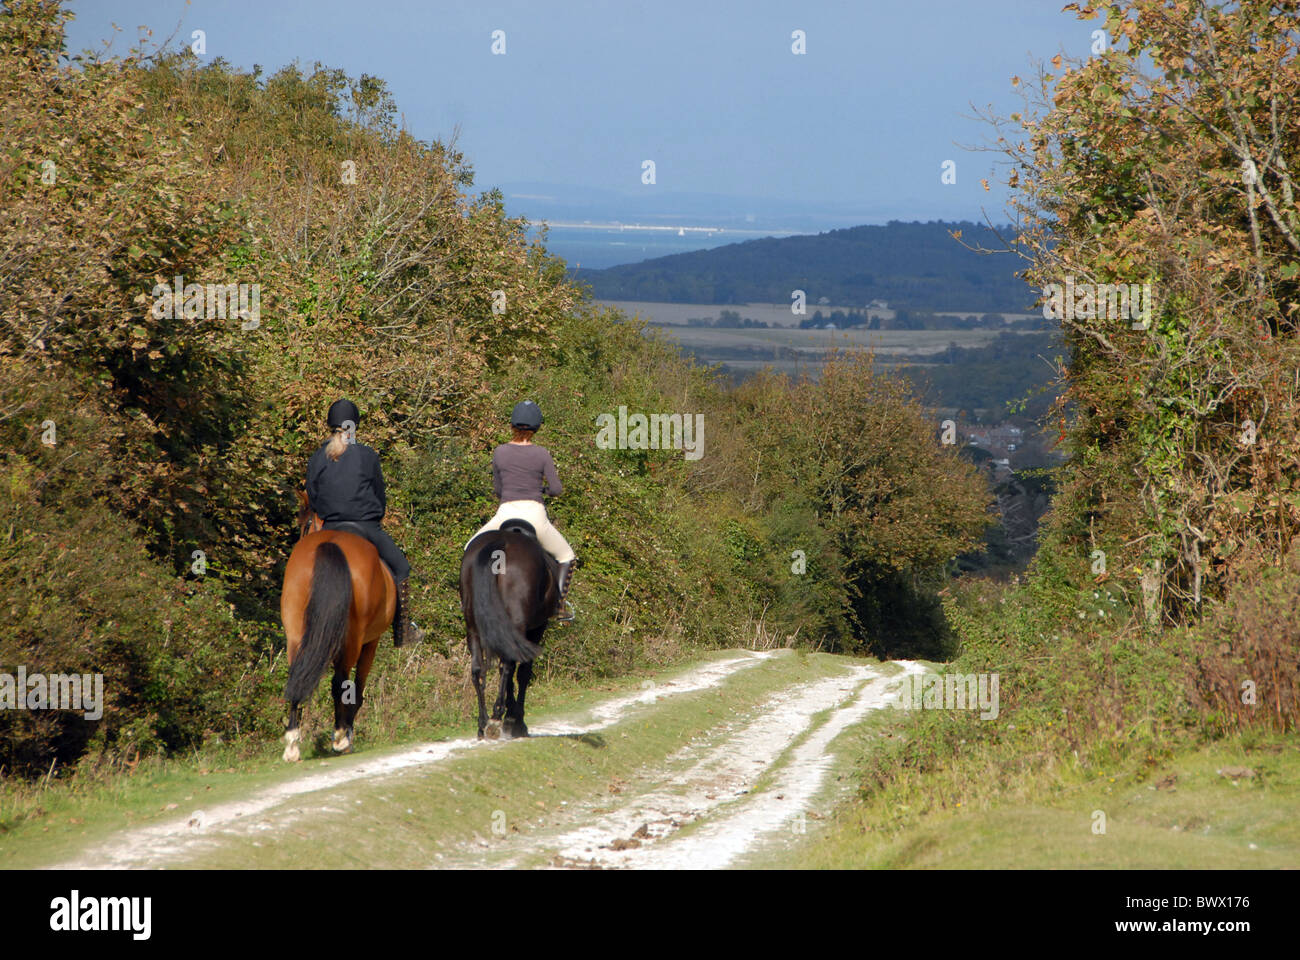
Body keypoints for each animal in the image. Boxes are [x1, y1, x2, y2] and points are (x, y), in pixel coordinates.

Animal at [279, 490, 396, 761]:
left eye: (303, 523)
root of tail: (331, 542)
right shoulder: (370, 642)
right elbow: (358, 688)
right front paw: (348, 732)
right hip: (353, 638)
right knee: (340, 681)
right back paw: (341, 737)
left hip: (297, 632)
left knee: (296, 674)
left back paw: (292, 744)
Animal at [460, 519, 559, 739]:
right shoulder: (536, 628)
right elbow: (522, 672)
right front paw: (516, 721)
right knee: (507, 665)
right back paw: (497, 715)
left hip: (473, 626)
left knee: (477, 668)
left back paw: (483, 722)